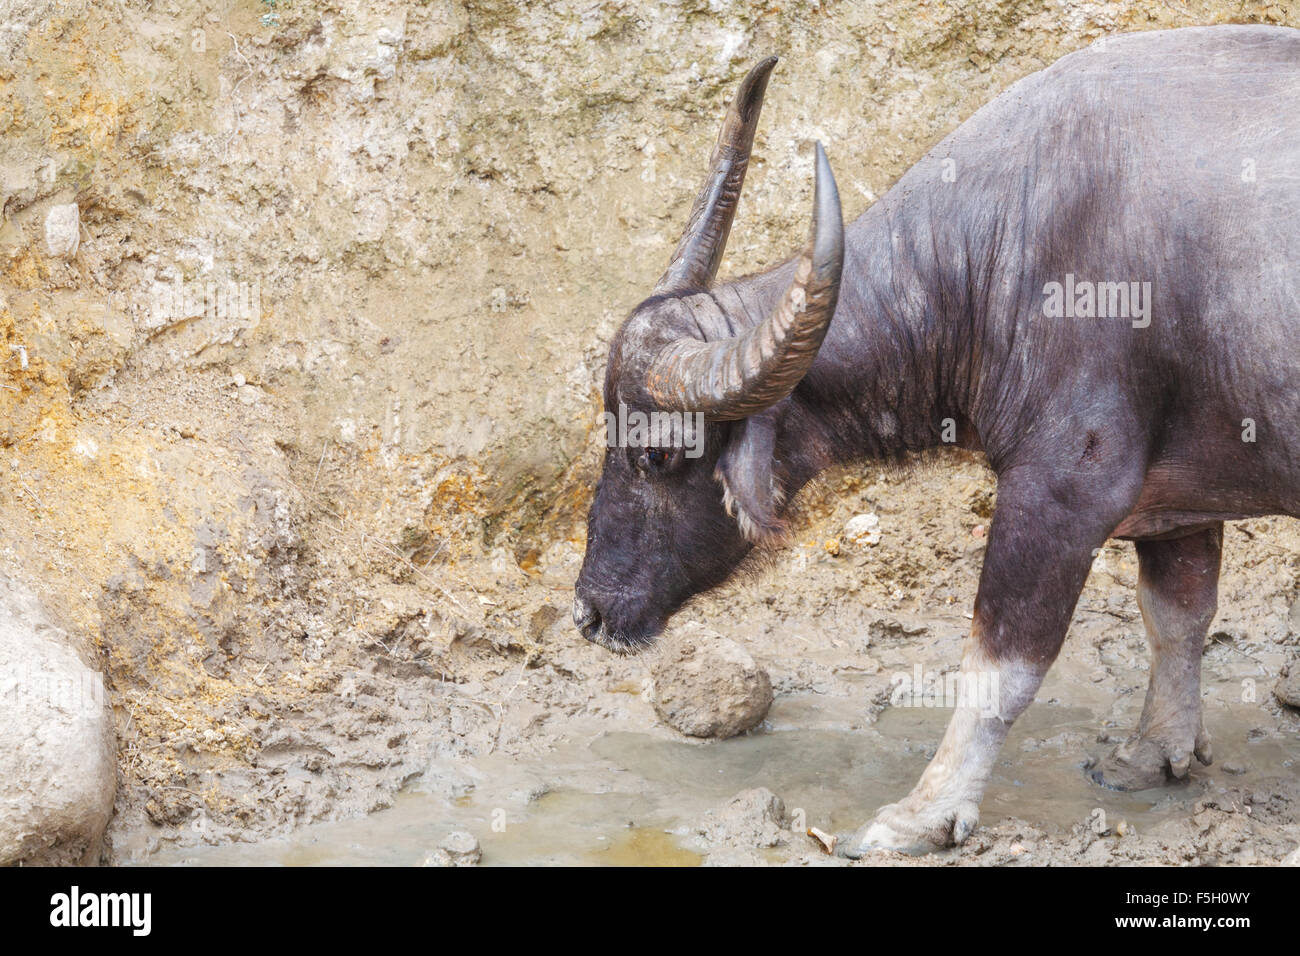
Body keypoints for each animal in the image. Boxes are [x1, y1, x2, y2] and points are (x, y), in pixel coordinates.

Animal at [572, 24, 1300, 856]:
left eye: (657, 453)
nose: (588, 613)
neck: (1004, 246)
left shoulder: (1060, 495)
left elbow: (1000, 660)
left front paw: (922, 812)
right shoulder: (1176, 510)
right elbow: (1175, 617)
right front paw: (1153, 754)